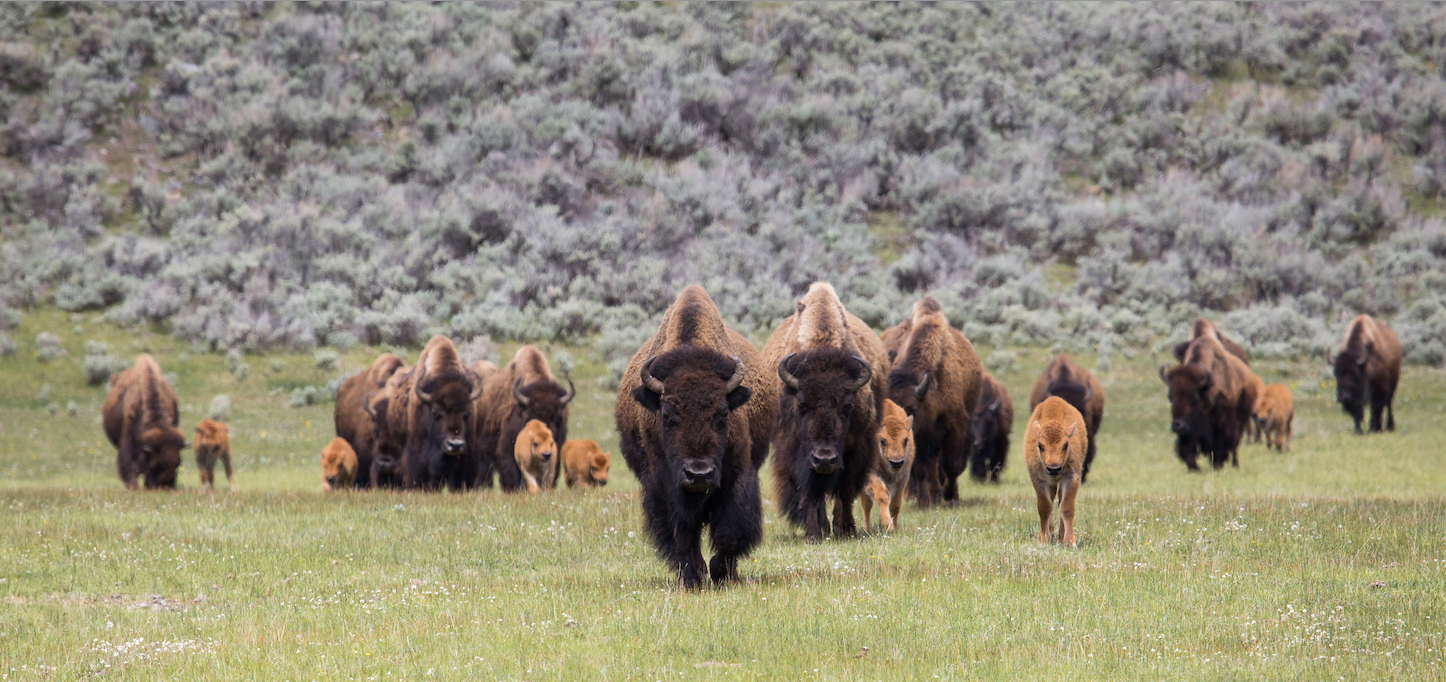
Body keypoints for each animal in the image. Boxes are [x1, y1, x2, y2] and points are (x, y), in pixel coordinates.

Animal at [103, 354, 187, 490]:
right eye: (154, 464)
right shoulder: (129, 439)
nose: (166, 487)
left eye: (178, 463)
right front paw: (133, 487)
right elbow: (129, 463)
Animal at [615, 285, 777, 589]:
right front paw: (692, 578)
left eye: (723, 414)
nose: (699, 474)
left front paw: (723, 574)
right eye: (667, 415)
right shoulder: (664, 484)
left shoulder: (737, 474)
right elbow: (682, 533)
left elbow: (729, 529)